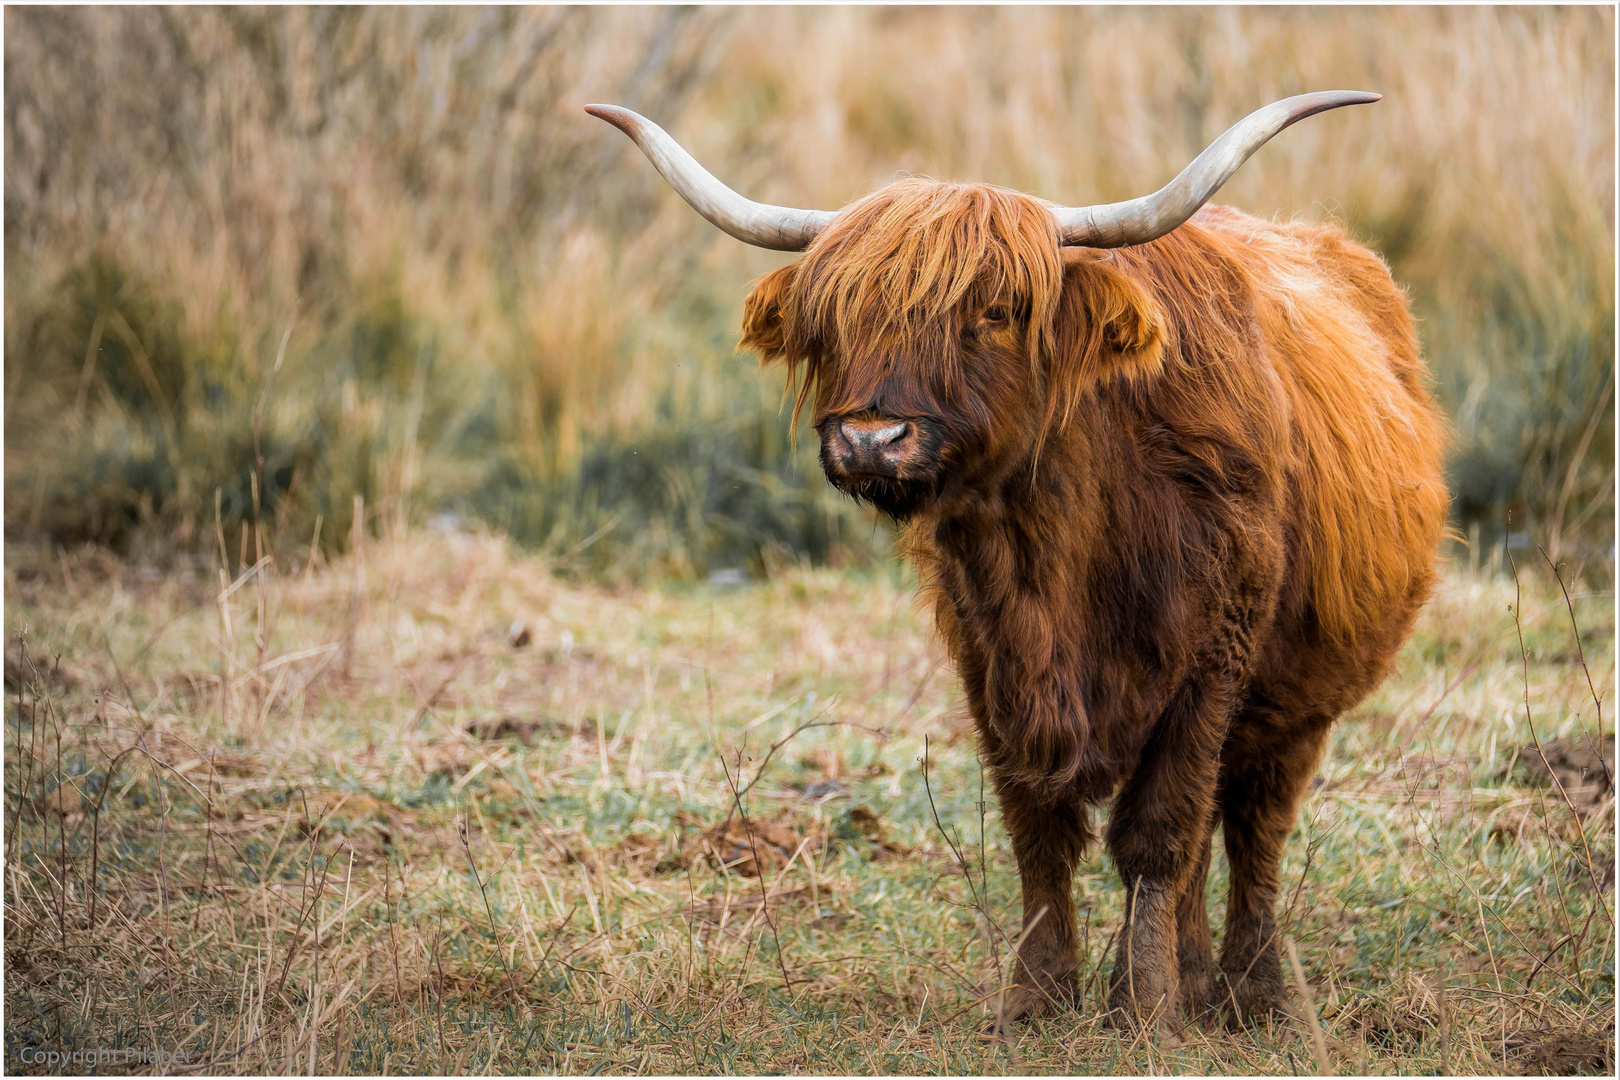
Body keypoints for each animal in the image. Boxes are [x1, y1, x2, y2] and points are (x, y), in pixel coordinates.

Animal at [589, 93, 1451, 1029]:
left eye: (994, 312)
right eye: (836, 319)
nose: (870, 439)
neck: (1055, 549)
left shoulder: (1209, 665)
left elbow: (1159, 834)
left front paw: (1142, 1010)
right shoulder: (989, 663)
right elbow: (1039, 831)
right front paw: (1037, 1000)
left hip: (1300, 697)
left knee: (1254, 823)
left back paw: (1255, 994)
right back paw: (1197, 979)